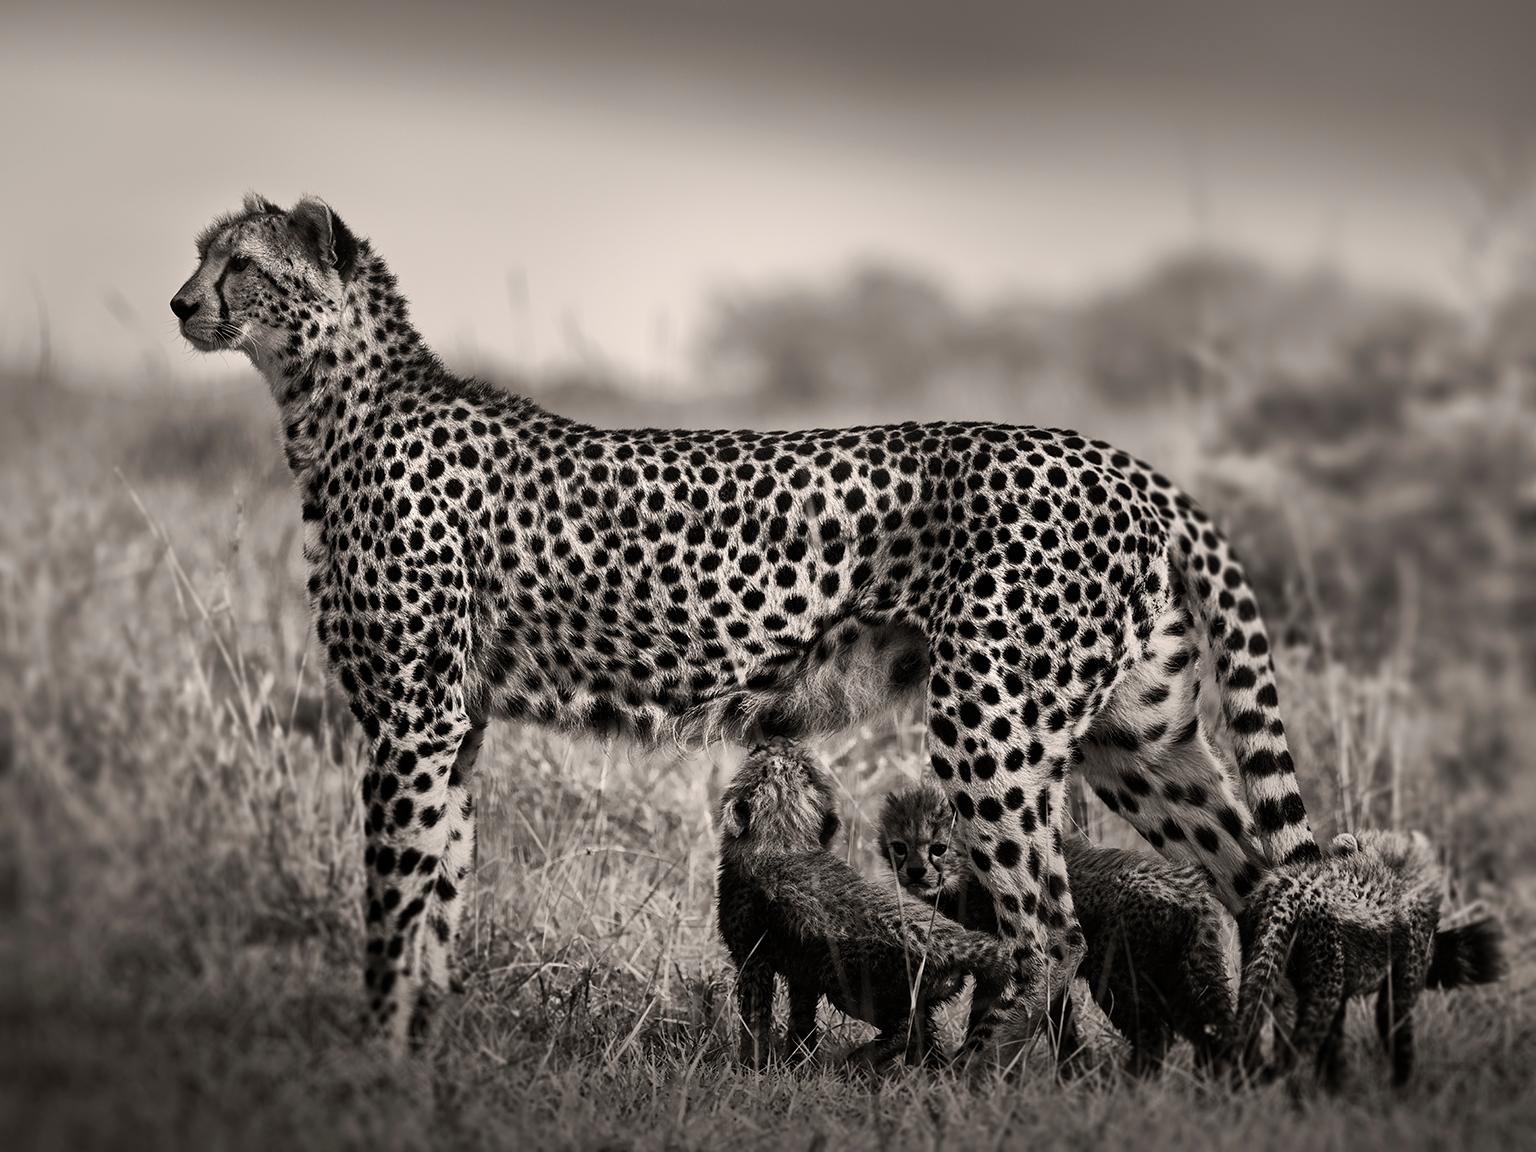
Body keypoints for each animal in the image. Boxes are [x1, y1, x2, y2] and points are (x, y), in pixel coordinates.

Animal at [716, 739, 1011, 1068]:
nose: (777, 741)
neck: (783, 842)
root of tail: (968, 941)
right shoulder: (802, 970)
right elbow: (801, 1021)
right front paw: (797, 1064)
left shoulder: (754, 959)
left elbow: (754, 1021)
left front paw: (750, 1068)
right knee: (925, 1035)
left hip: (848, 978)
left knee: (907, 1028)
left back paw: (855, 1061)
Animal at [880, 780, 1234, 1073]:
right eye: (899, 846)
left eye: (938, 847)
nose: (914, 872)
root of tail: (1192, 885)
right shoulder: (1052, 964)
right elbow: (1058, 1019)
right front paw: (1072, 1072)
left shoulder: (1014, 963)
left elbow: (988, 1014)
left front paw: (969, 1062)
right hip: (1181, 971)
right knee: (1210, 1026)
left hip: (1117, 970)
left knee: (1156, 1031)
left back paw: (1130, 1082)